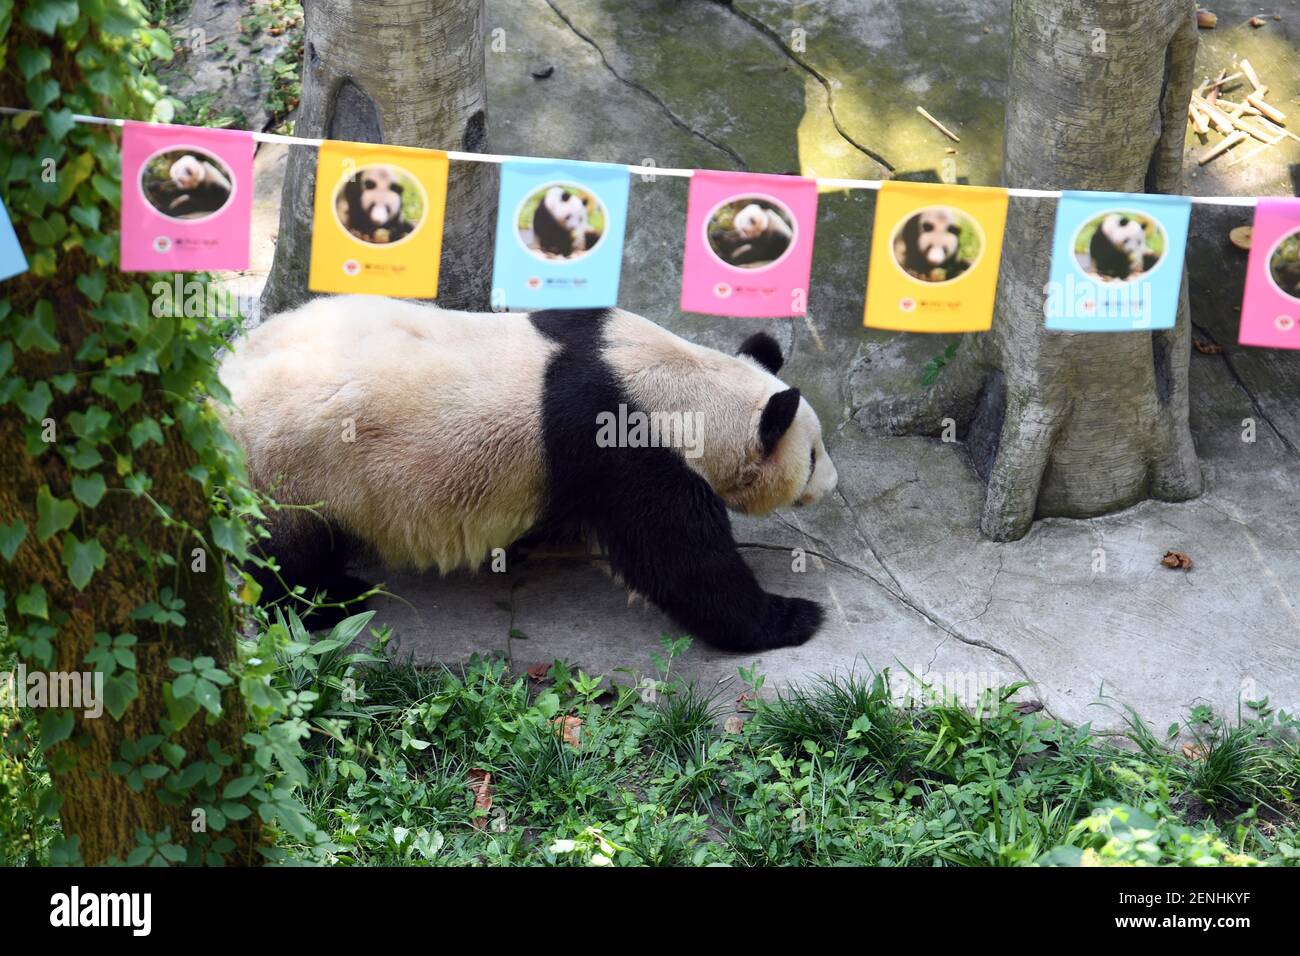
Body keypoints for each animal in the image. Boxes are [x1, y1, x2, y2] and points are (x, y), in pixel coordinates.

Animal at [217, 297, 838, 652]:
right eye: (811, 454)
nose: (832, 486)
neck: (682, 385)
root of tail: (220, 387)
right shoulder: (624, 445)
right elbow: (682, 560)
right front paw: (793, 616)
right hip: (291, 463)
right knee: (286, 555)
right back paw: (333, 598)